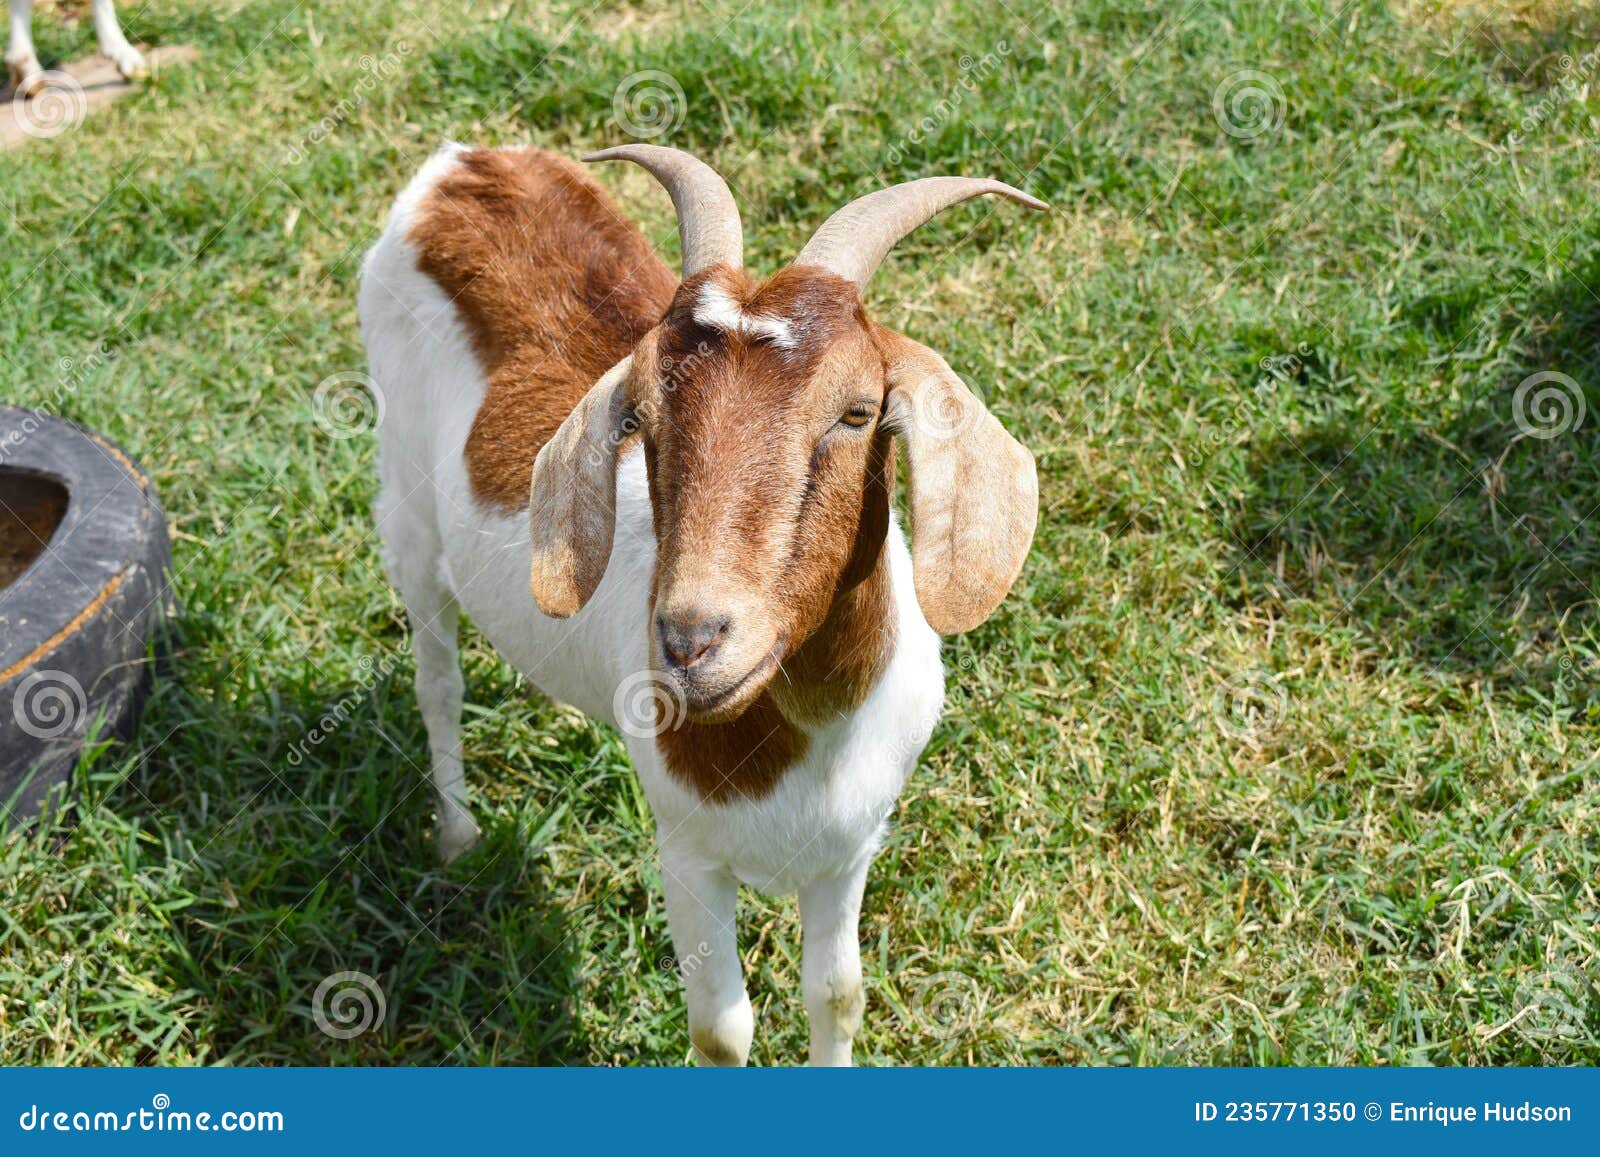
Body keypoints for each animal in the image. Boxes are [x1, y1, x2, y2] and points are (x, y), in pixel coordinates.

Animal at [358, 143, 1043, 1065]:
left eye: (858, 411)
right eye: (641, 414)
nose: (691, 640)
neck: (813, 729)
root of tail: (464, 163)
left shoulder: (849, 851)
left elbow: (837, 996)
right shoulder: (687, 853)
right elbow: (722, 1028)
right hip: (406, 504)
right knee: (437, 678)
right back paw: (458, 836)